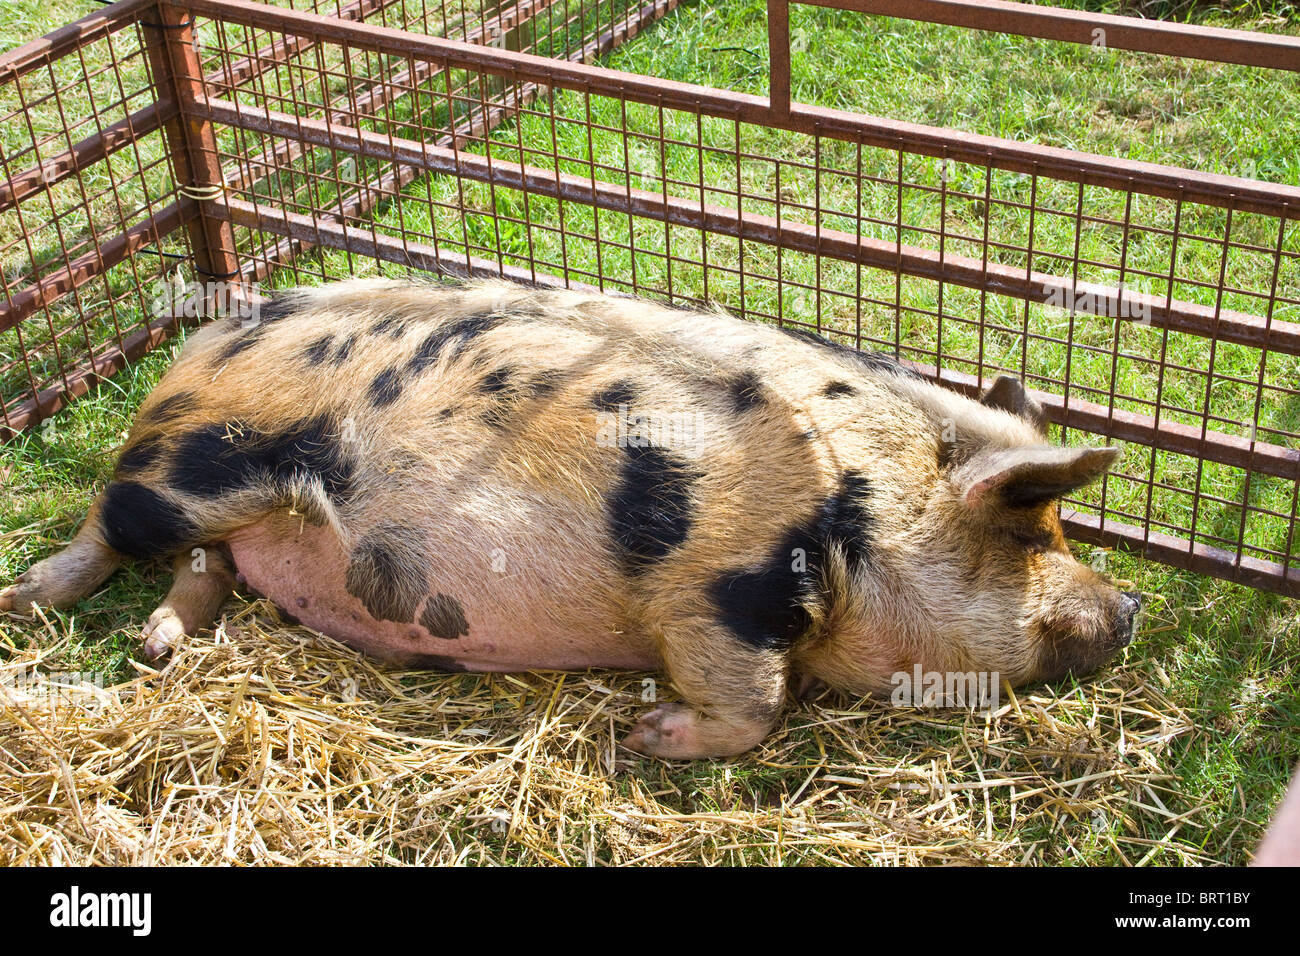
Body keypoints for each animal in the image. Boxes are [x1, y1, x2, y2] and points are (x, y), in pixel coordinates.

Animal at [0, 278, 1141, 758]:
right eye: (1032, 533)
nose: (1129, 604)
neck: (861, 512)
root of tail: (200, 343)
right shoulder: (717, 590)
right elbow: (759, 702)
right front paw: (647, 735)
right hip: (192, 464)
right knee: (114, 521)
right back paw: (30, 596)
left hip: (228, 508)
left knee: (210, 567)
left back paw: (156, 647)